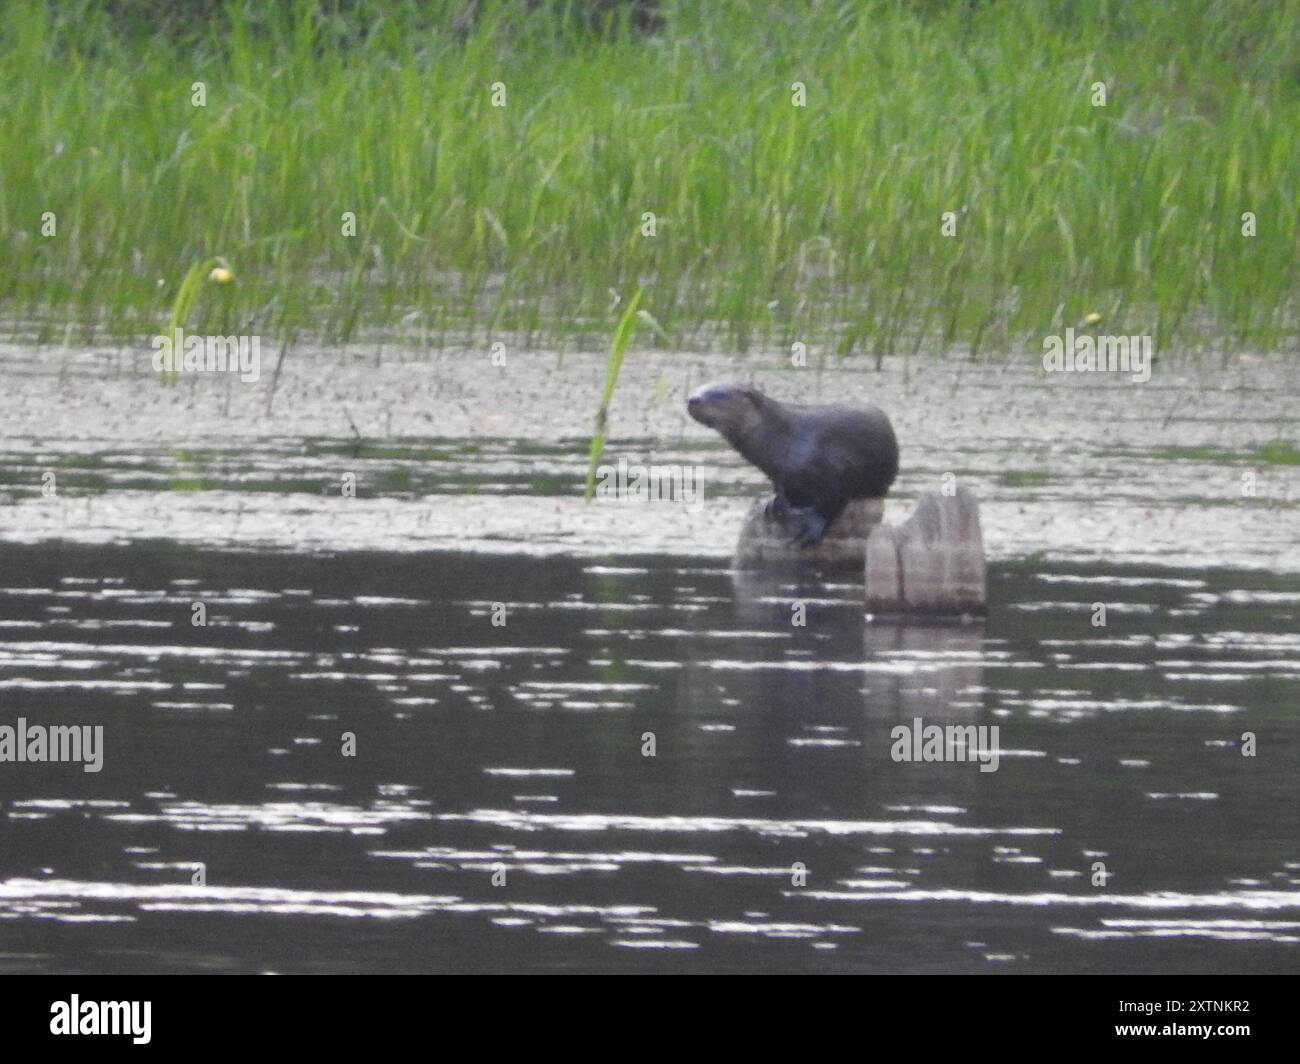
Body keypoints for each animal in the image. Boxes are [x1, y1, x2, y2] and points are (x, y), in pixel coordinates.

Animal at [687, 382, 898, 546]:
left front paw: (811, 527)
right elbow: (782, 488)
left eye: (719, 395)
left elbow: (832, 499)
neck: (784, 438)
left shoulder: (833, 468)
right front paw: (773, 502)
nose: (692, 399)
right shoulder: (778, 473)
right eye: (701, 387)